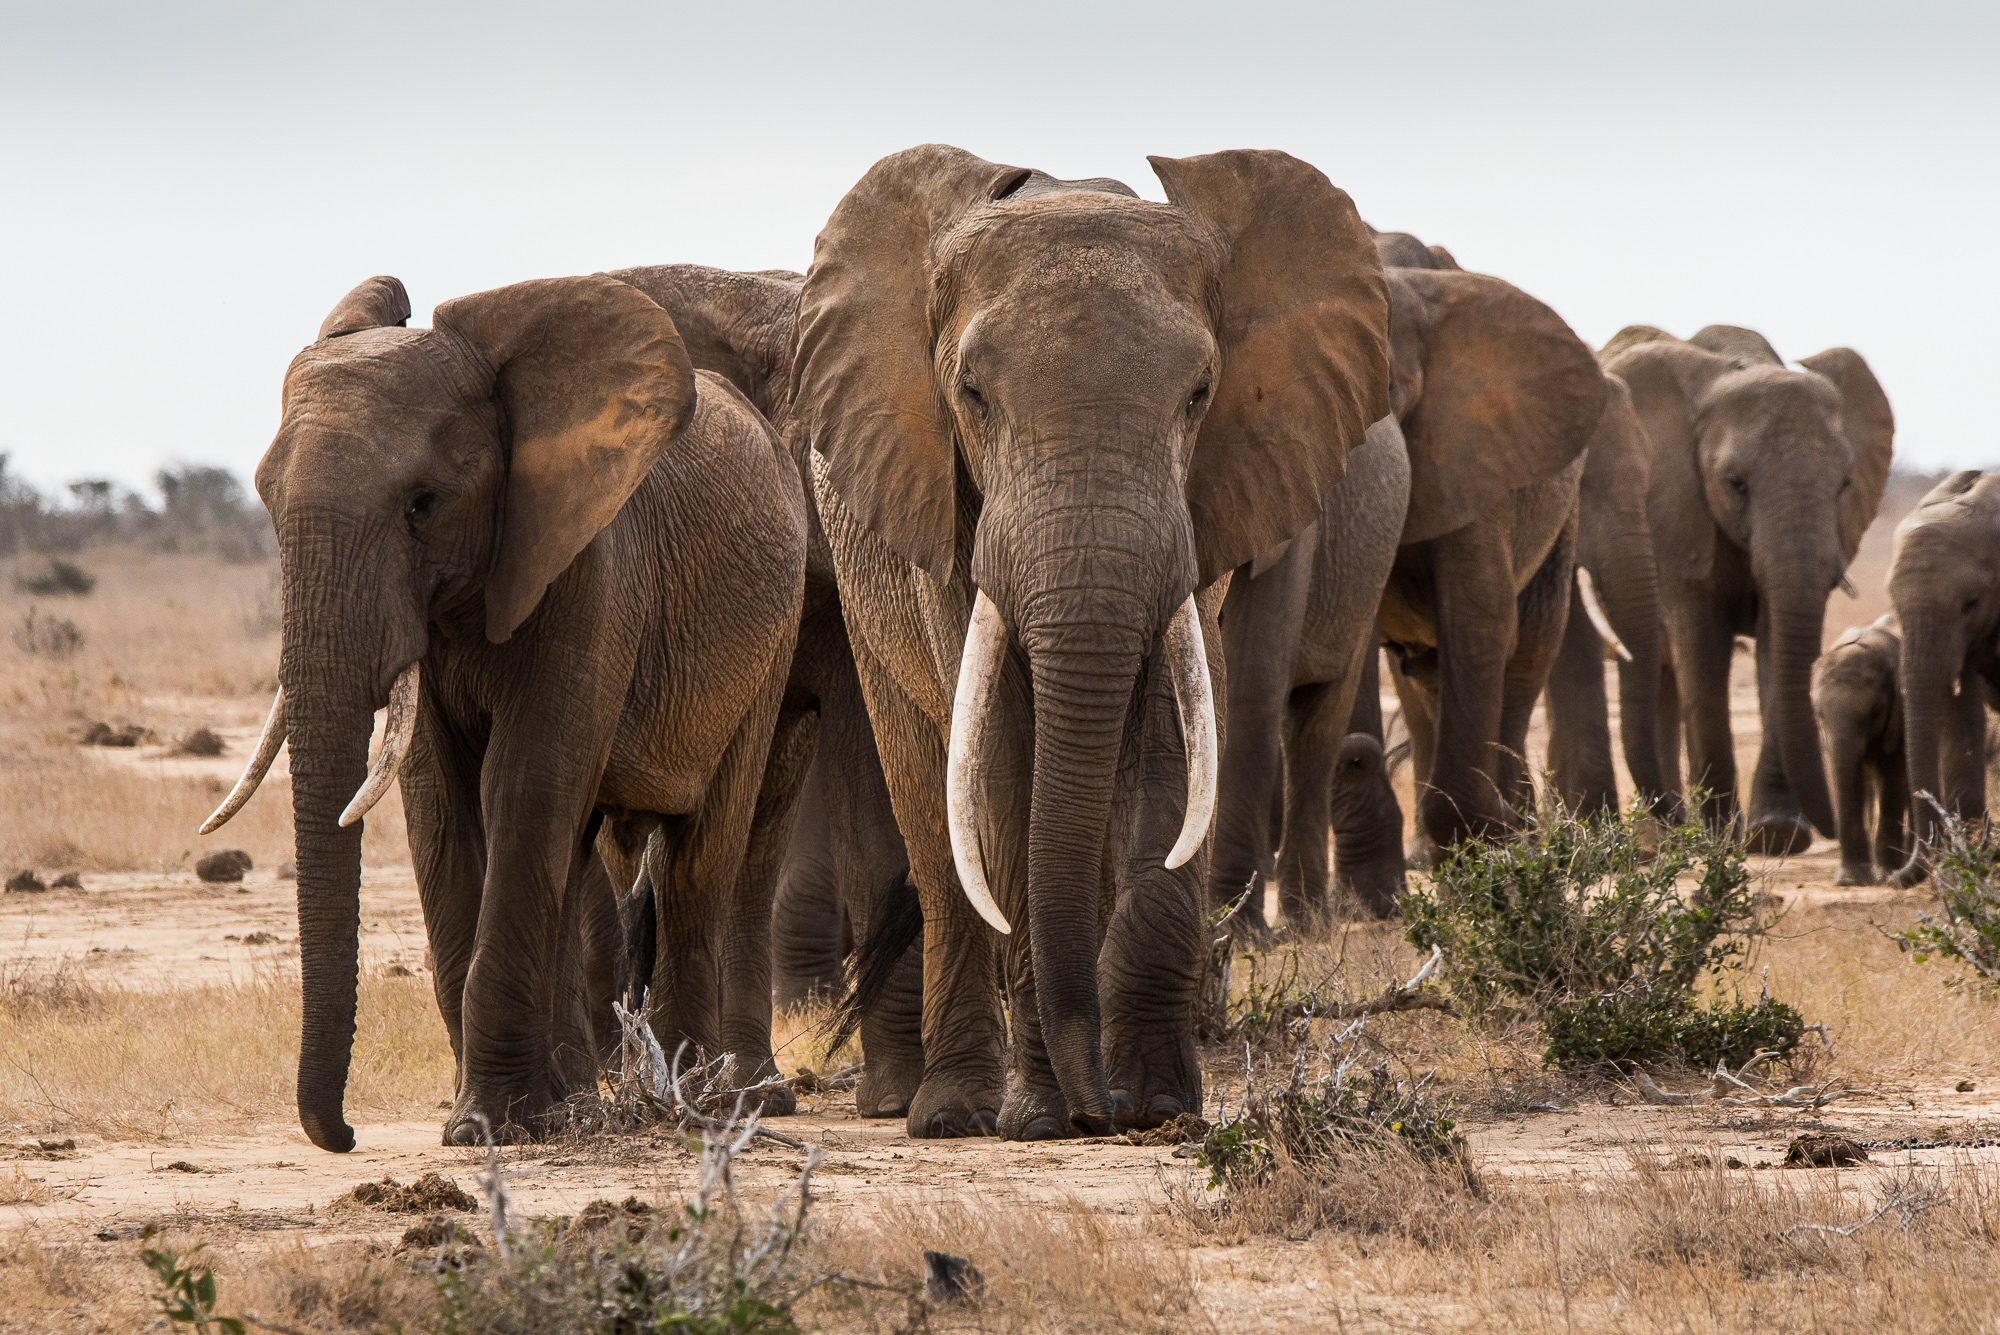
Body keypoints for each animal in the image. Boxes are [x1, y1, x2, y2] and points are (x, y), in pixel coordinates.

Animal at [202, 272, 808, 1150]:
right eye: (265, 500)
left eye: (422, 504)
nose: (341, 1134)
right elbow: (443, 803)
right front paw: (509, 1118)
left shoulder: (591, 568)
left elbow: (524, 781)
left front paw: (486, 1127)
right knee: (578, 853)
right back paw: (580, 1102)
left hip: (773, 640)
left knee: (701, 856)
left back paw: (699, 1103)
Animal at [1368, 249, 1609, 859]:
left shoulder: (1472, 460)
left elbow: (1480, 617)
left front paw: (1504, 830)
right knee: (1422, 672)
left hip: (1560, 512)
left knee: (1527, 649)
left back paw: (1516, 826)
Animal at [1601, 325, 1894, 854]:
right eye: (1734, 483)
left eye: (1844, 484)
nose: (1836, 830)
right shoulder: (1676, 510)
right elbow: (1702, 647)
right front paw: (1721, 835)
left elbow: (1779, 641)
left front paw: (1776, 834)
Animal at [1811, 613, 1909, 886]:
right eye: (1818, 714)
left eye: (1874, 712)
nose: (1846, 881)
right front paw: (1853, 880)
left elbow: (1892, 775)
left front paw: (1885, 875)